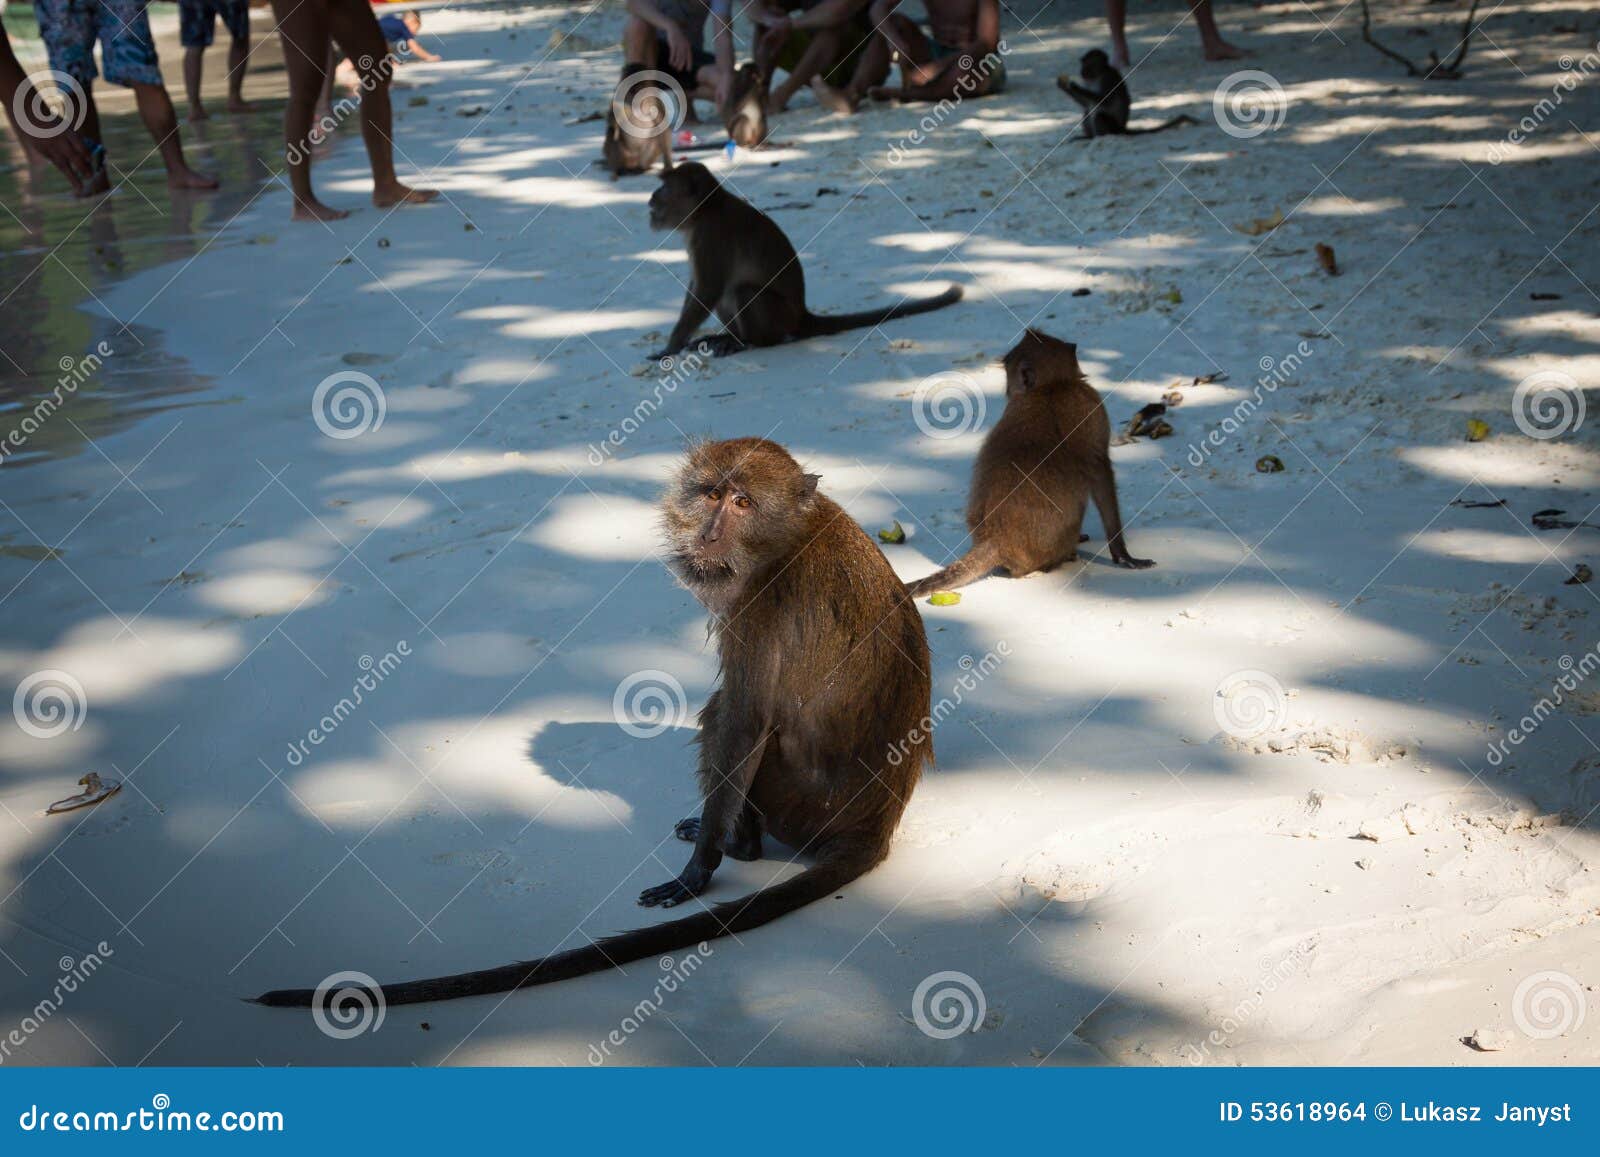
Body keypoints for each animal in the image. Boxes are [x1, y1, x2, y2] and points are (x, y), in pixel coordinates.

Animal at [255, 438, 932, 1009]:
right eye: (712, 494)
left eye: (743, 503)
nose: (710, 531)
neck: (789, 537)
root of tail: (878, 821)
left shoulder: (759, 607)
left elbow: (744, 723)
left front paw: (700, 870)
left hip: (794, 804)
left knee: (721, 714)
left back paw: (737, 843)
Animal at [647, 162, 962, 358]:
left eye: (664, 188)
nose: (650, 198)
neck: (706, 209)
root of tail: (802, 313)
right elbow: (700, 288)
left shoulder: (710, 235)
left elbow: (708, 289)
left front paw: (670, 346)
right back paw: (729, 338)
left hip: (780, 317)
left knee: (742, 291)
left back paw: (749, 342)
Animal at [905, 329, 1156, 597]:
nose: (1008, 389)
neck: (1051, 385)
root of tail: (995, 540)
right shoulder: (1091, 407)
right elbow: (1100, 471)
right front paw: (1122, 553)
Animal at [1057, 49, 1197, 140]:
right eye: (1083, 63)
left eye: (1087, 64)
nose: (1082, 72)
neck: (1099, 73)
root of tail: (1123, 128)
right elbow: (1086, 104)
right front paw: (1063, 86)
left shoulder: (1108, 78)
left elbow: (1106, 101)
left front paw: (1074, 85)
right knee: (1087, 112)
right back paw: (1088, 136)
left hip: (1115, 128)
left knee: (1100, 116)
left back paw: (1099, 138)